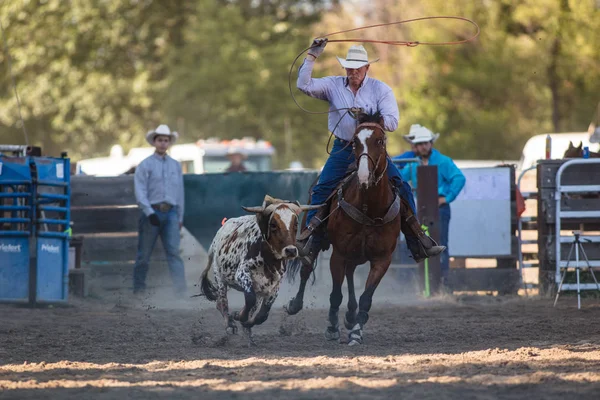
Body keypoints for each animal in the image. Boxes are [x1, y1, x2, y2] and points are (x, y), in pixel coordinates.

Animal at [288, 111, 400, 344]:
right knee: (306, 269)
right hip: (317, 242)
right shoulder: (338, 254)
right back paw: (296, 305)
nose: (364, 176)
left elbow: (366, 297)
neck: (369, 208)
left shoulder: (382, 259)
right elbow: (335, 294)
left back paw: (350, 315)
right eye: (355, 141)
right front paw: (332, 327)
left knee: (350, 274)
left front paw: (356, 331)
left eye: (380, 140)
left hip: (356, 255)